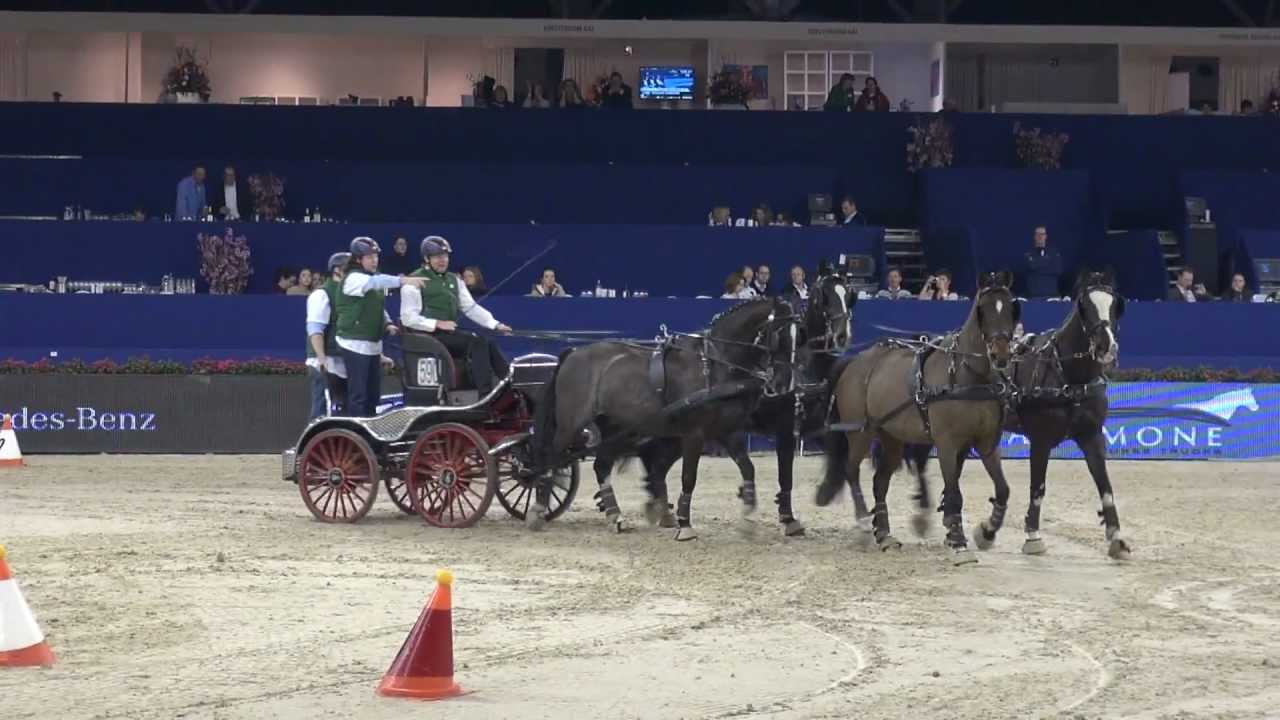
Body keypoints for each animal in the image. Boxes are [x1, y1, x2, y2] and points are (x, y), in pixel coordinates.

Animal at [530, 296, 798, 539]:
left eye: (800, 335)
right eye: (779, 335)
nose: (783, 383)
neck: (713, 365)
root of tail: (573, 352)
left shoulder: (726, 432)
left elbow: (748, 469)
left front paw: (747, 520)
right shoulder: (694, 434)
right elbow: (689, 477)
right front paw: (685, 525)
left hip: (614, 426)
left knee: (601, 465)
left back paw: (615, 516)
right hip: (570, 424)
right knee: (551, 459)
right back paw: (539, 510)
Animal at [815, 272, 1020, 564]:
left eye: (1011, 308)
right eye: (983, 309)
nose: (1001, 354)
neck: (967, 375)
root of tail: (854, 362)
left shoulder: (987, 443)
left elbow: (1002, 489)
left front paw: (987, 531)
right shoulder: (947, 444)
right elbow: (953, 492)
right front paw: (958, 542)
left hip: (891, 438)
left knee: (880, 482)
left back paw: (884, 535)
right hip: (861, 433)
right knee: (851, 470)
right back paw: (865, 525)